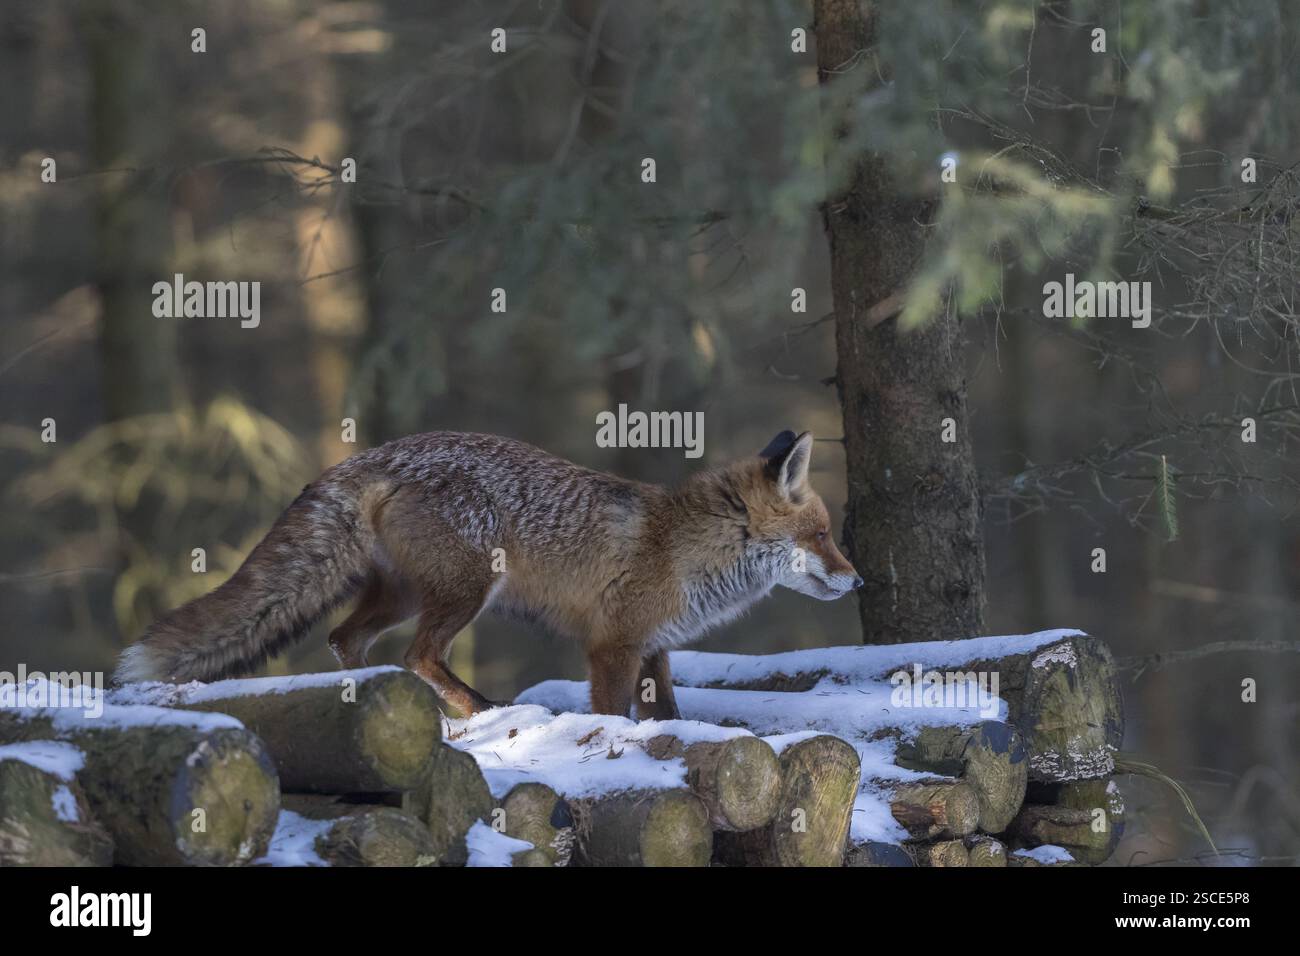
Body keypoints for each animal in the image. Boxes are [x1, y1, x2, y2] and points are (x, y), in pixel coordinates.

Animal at [114, 429, 862, 719]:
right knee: (418, 655)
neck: (684, 545)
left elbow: (667, 715)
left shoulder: (655, 650)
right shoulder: (613, 647)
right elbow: (612, 713)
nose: (858, 581)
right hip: (465, 590)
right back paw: (478, 709)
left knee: (346, 639)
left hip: (402, 594)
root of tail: (381, 452)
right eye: (824, 535)